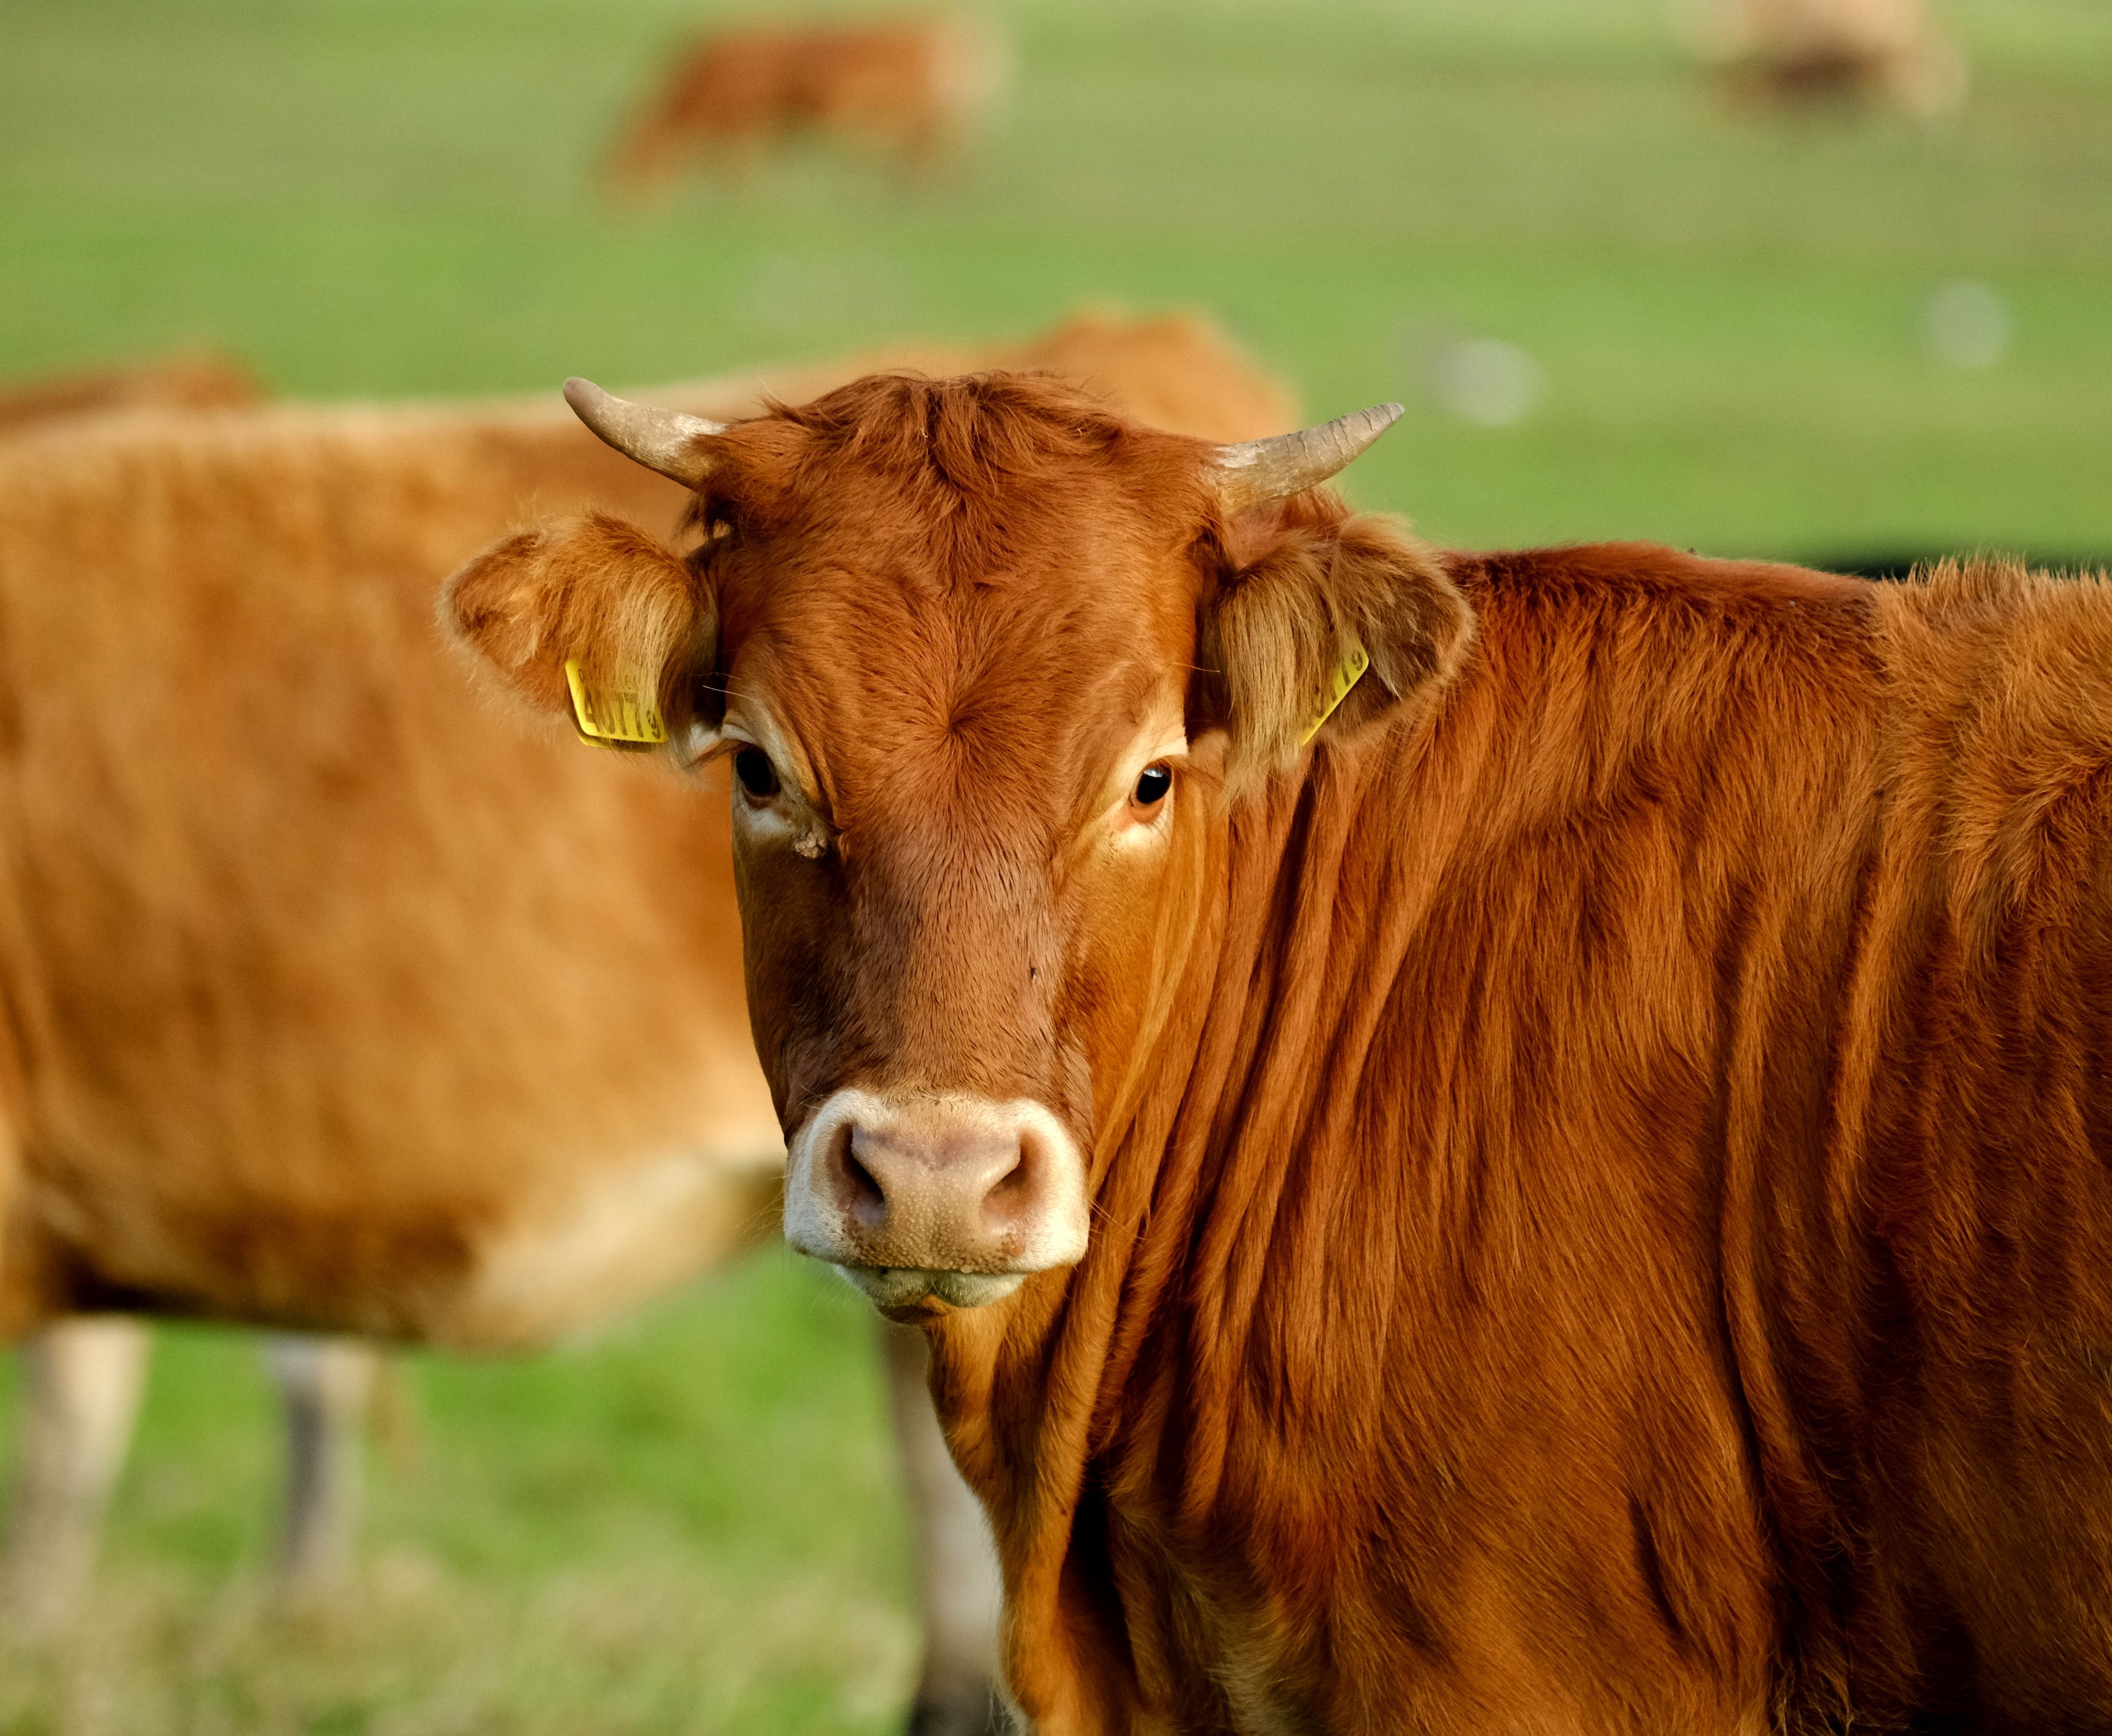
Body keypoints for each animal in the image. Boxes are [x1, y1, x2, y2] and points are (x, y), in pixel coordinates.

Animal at [603, 12, 1007, 190]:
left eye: (626, 170)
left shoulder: (748, 126)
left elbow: (739, 173)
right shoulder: (760, 130)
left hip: (916, 118)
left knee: (924, 161)